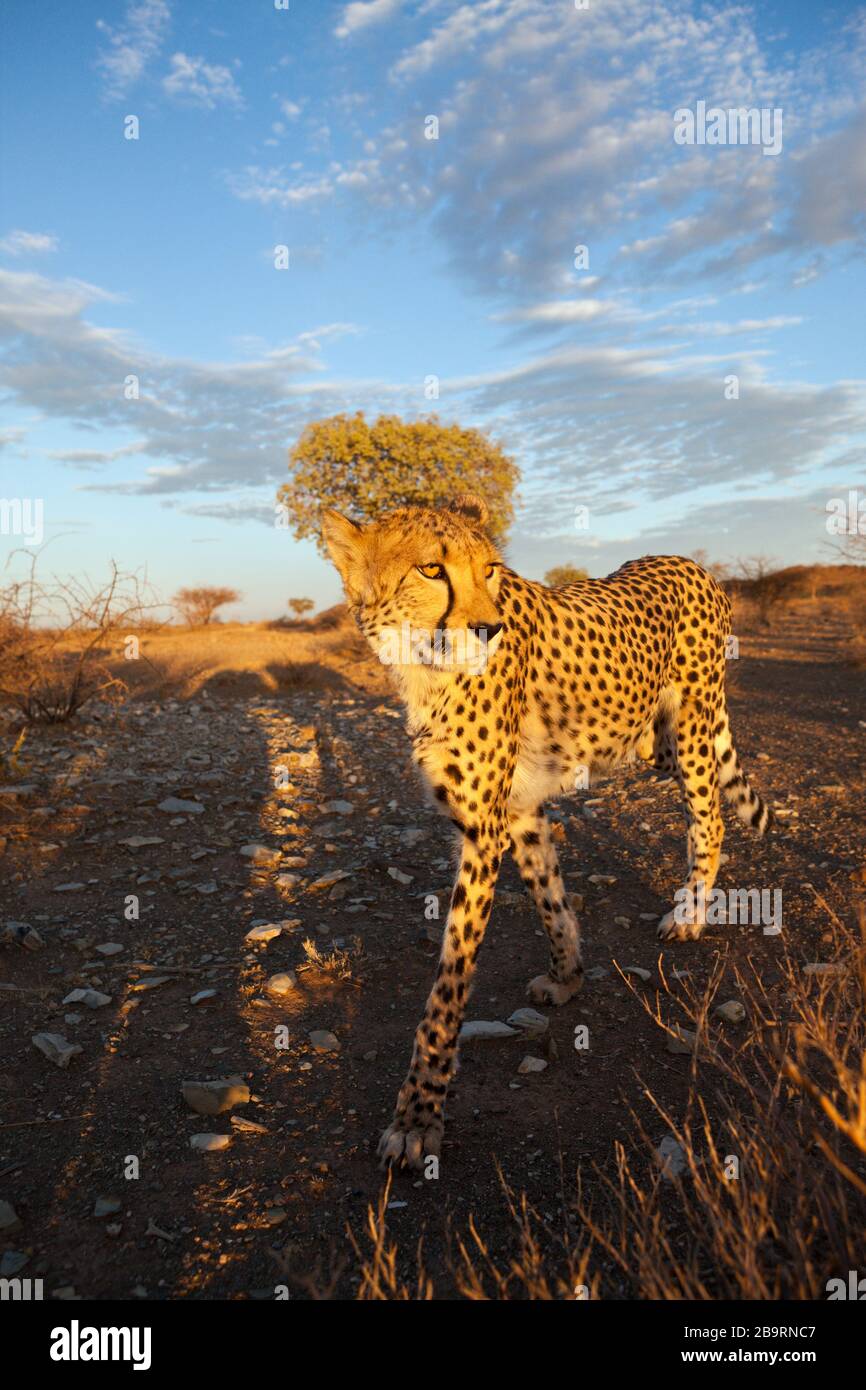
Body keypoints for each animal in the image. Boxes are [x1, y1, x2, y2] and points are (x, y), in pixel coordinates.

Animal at [322, 493, 772, 1170]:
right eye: (431, 569)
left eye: (489, 570)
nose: (487, 629)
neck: (422, 669)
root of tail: (687, 560)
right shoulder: (518, 810)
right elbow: (550, 899)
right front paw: (567, 978)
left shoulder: (482, 830)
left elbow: (448, 985)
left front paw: (418, 1116)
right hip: (654, 742)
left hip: (690, 728)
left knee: (710, 813)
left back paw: (692, 914)